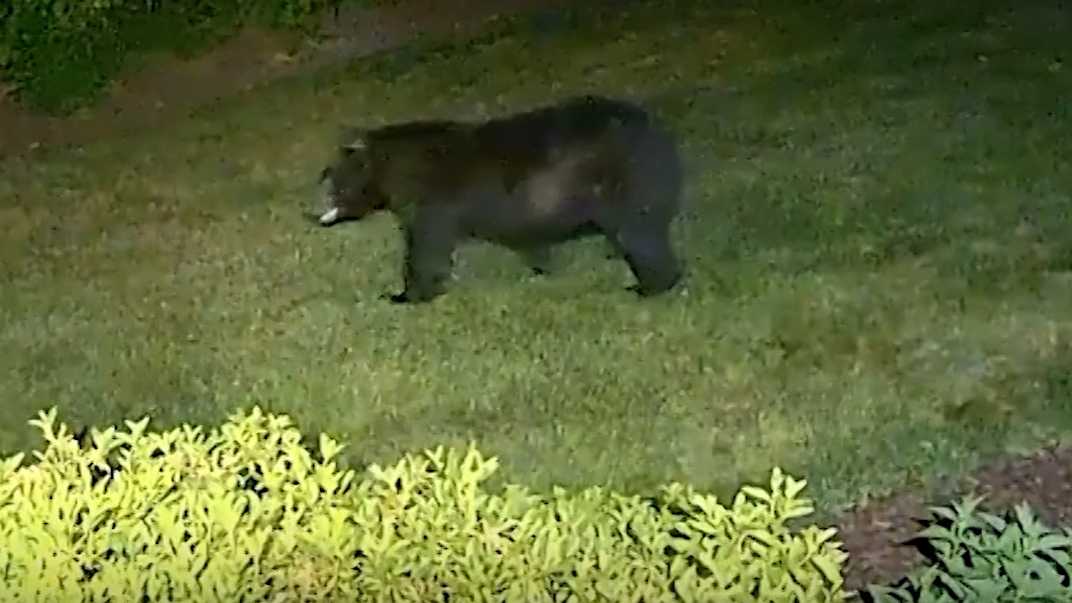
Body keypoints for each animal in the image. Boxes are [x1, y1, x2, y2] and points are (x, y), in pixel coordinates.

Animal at [316, 94, 685, 304]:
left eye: (332, 180)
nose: (315, 209)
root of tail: (658, 132)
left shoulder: (434, 204)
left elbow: (424, 250)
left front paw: (404, 295)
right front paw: (540, 266)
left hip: (624, 184)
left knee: (639, 235)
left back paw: (648, 286)